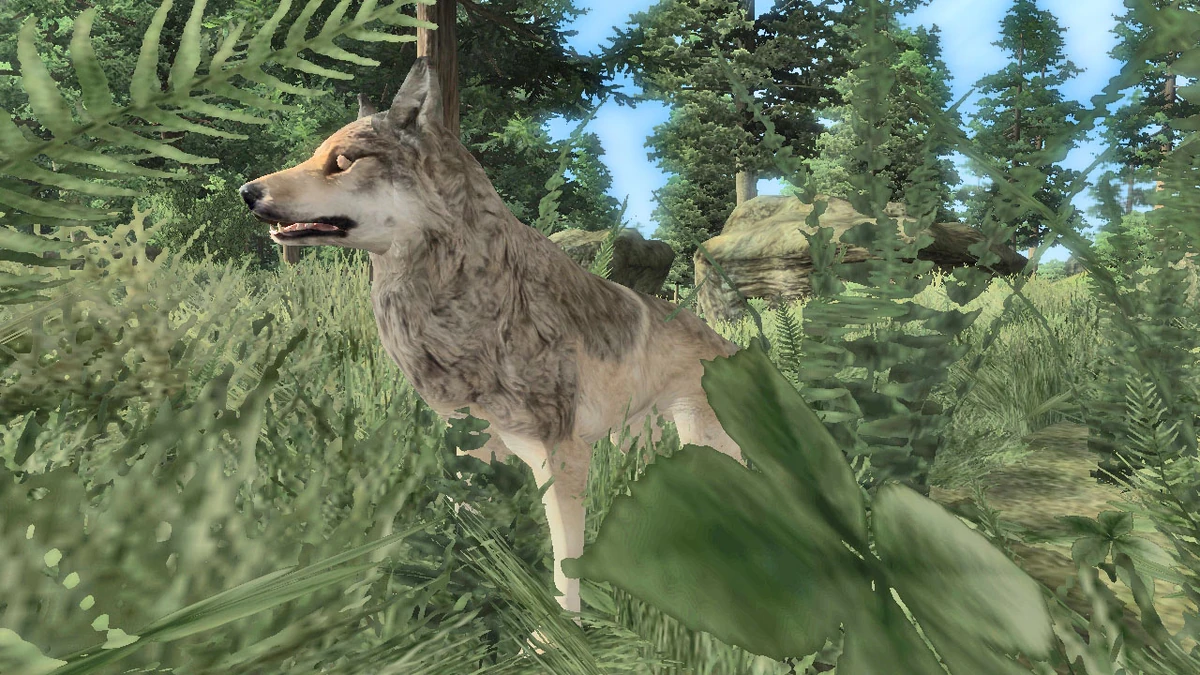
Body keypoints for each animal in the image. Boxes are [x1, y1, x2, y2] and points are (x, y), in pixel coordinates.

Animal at [239, 57, 743, 619]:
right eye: (314, 155)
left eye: (342, 161)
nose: (247, 193)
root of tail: (724, 342)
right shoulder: (468, 451)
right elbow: (471, 539)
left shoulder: (561, 459)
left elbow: (565, 567)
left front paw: (556, 636)